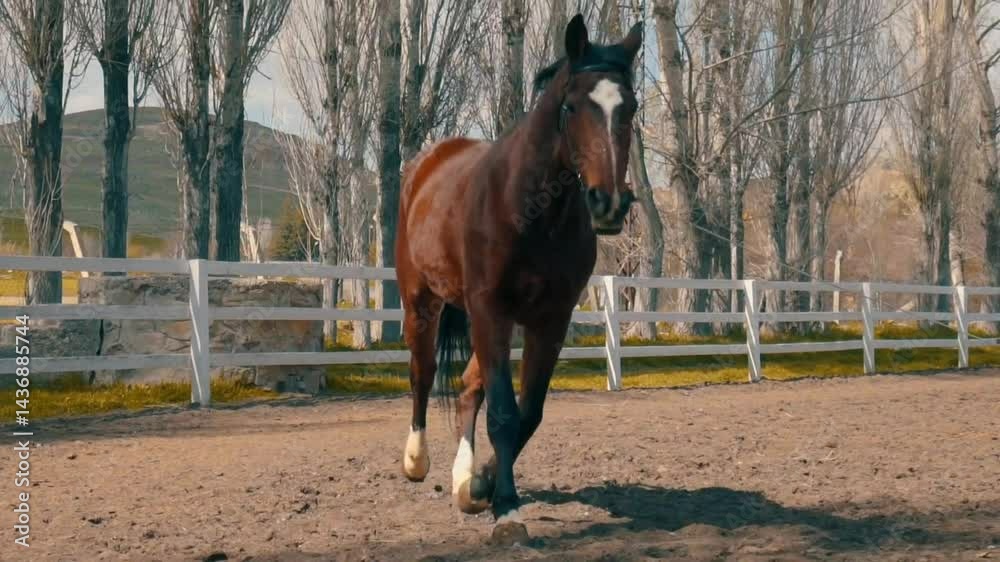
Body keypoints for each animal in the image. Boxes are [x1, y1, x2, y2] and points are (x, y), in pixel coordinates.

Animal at [394, 14, 642, 542]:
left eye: (629, 107)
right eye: (571, 106)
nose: (608, 203)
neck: (530, 210)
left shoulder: (549, 320)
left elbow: (527, 412)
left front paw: (484, 486)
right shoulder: (491, 310)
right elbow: (505, 413)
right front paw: (507, 510)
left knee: (468, 390)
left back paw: (464, 480)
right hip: (421, 301)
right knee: (423, 372)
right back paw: (416, 461)